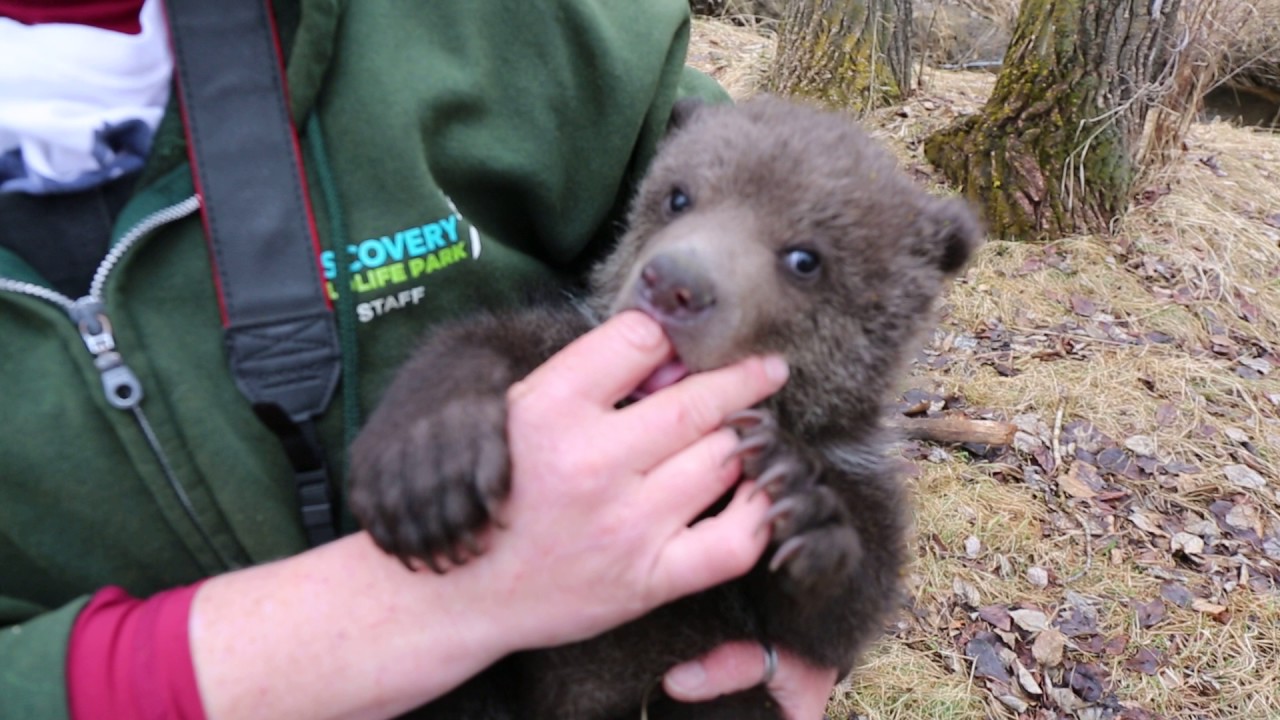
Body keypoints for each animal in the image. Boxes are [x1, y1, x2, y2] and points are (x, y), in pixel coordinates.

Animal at [348, 95, 983, 720]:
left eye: (806, 258)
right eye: (678, 196)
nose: (674, 283)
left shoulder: (853, 471)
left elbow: (835, 624)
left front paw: (800, 506)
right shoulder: (576, 345)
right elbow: (486, 341)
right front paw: (427, 461)